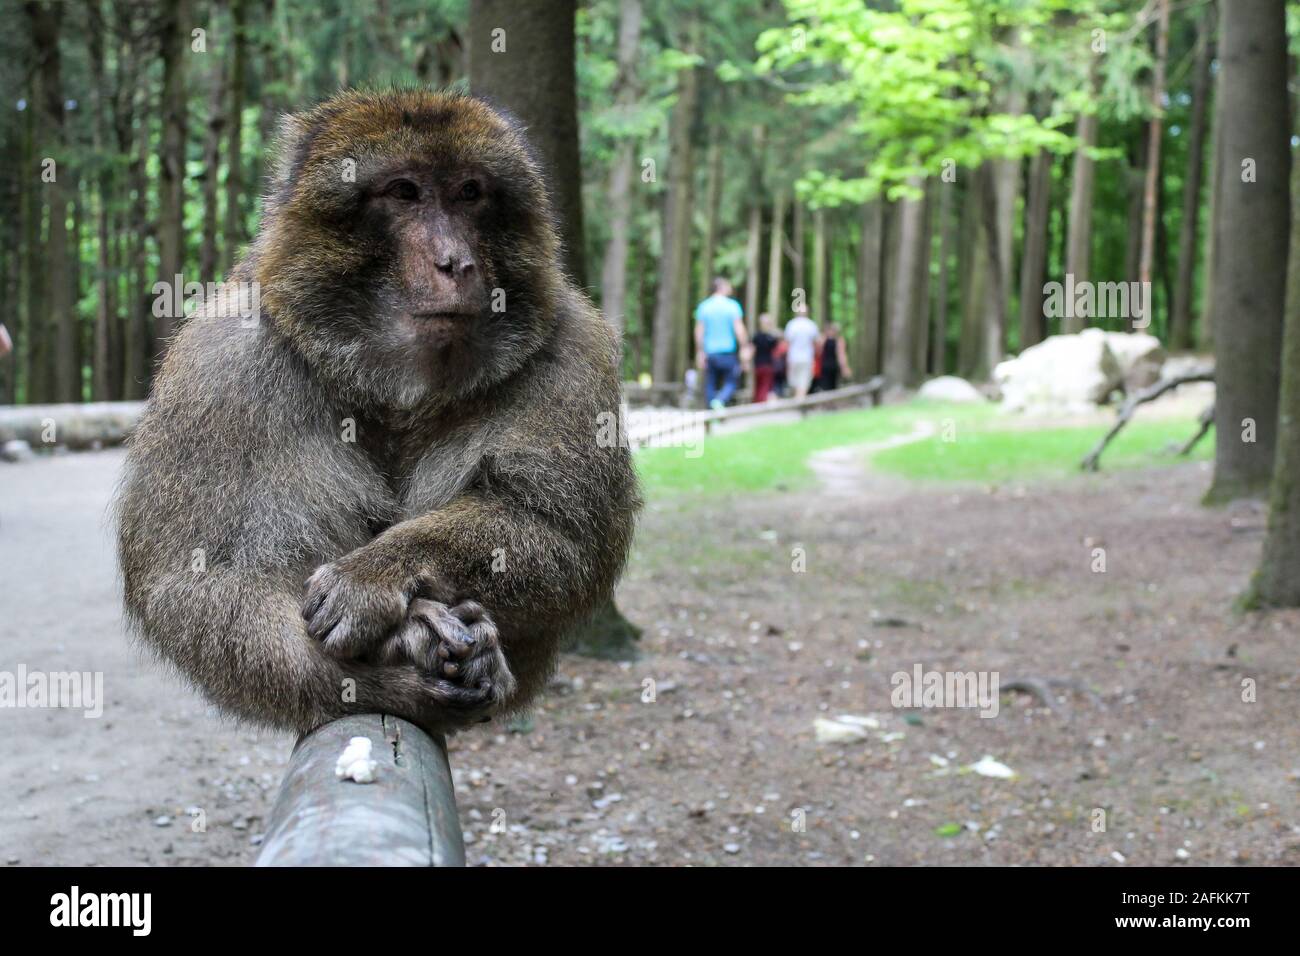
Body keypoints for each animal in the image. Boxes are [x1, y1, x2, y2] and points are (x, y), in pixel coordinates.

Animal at [115, 89, 640, 736]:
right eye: (404, 192)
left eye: (470, 192)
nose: (455, 262)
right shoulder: (220, 365)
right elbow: (197, 580)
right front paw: (400, 659)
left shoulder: (572, 355)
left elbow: (565, 533)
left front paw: (379, 573)